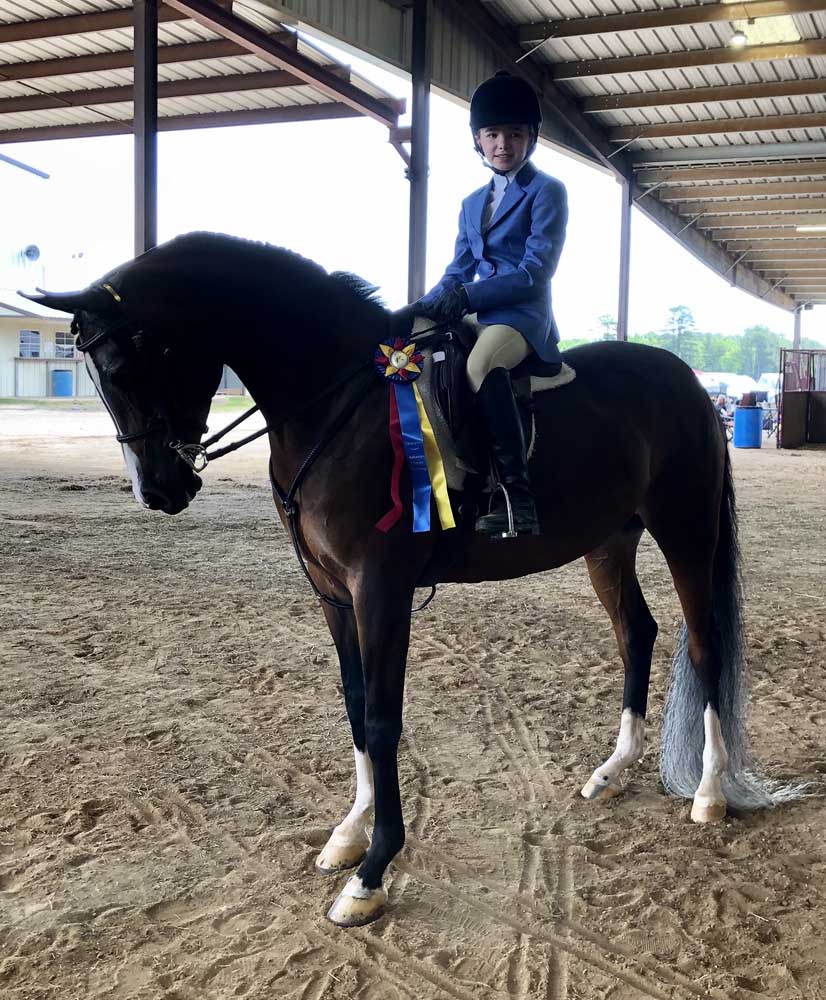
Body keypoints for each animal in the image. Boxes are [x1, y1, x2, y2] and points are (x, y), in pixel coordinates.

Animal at [27, 232, 794, 928]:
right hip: (608, 543)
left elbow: (382, 716)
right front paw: (349, 834)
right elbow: (354, 704)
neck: (338, 402)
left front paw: (371, 873)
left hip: (685, 531)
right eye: (94, 370)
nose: (160, 490)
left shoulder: (380, 590)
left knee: (704, 644)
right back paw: (611, 771)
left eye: (126, 364)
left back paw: (709, 794)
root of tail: (686, 380)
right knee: (637, 631)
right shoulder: (332, 594)